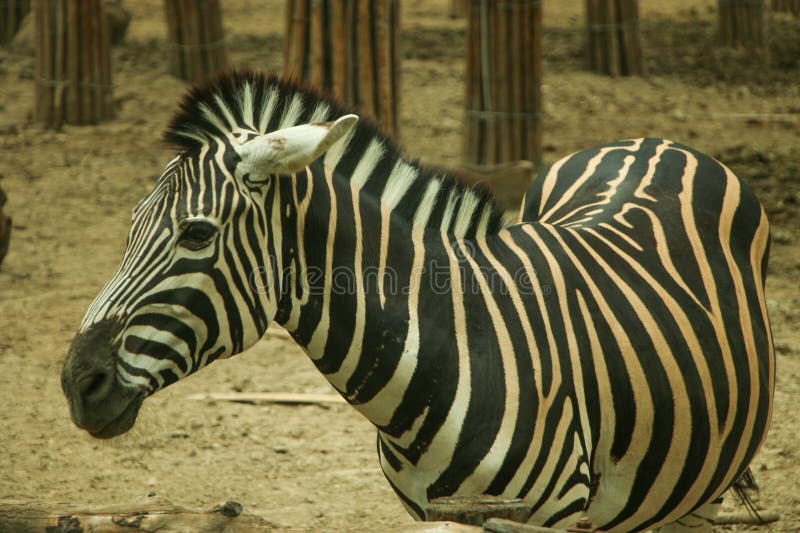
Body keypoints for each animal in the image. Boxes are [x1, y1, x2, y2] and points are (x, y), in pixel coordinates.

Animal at [61, 71, 774, 532]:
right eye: (131, 227)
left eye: (197, 233)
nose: (76, 383)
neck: (454, 349)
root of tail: (654, 140)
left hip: (702, 487)